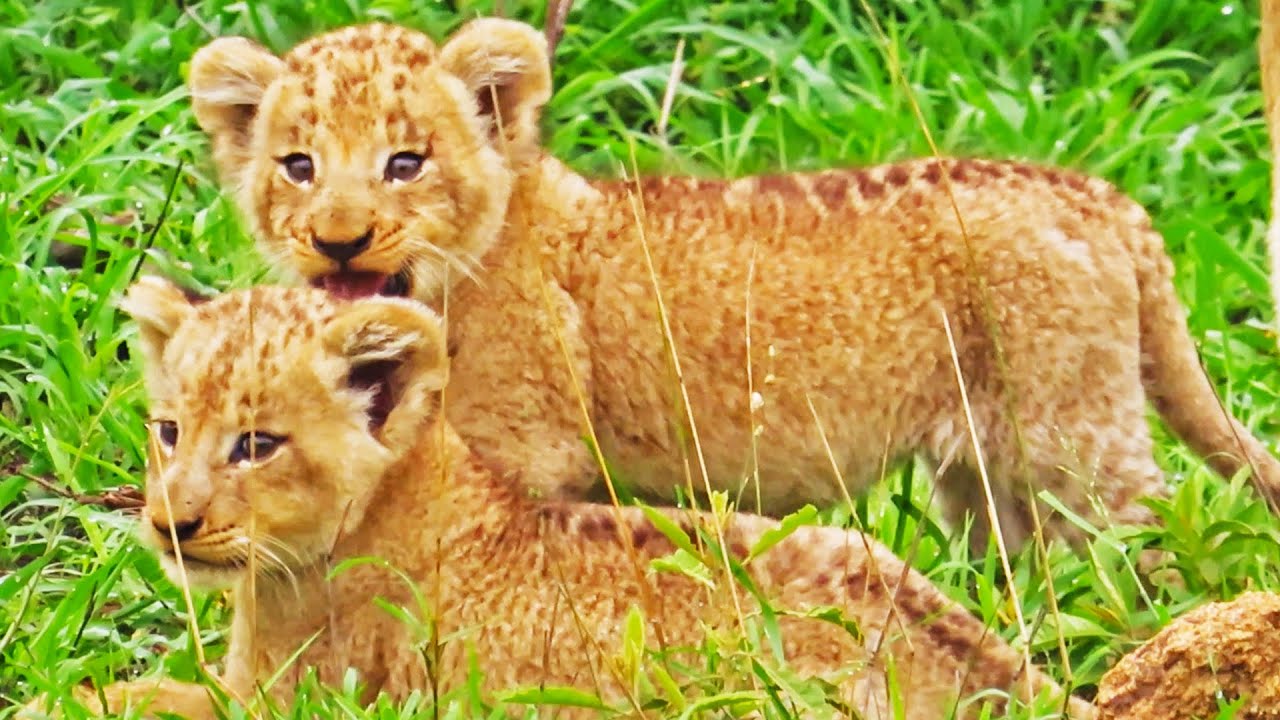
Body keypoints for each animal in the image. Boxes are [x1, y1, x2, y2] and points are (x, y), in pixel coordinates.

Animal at [23, 279, 1094, 719]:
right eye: (170, 431)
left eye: (256, 445)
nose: (171, 521)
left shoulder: (293, 704)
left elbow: (135, 698)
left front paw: (46, 698)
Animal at [185, 18, 1280, 550]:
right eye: (298, 167)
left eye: (405, 163)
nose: (339, 242)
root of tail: (1102, 198)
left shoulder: (529, 455)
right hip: (981, 463)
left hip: (1070, 433)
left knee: (1138, 534)